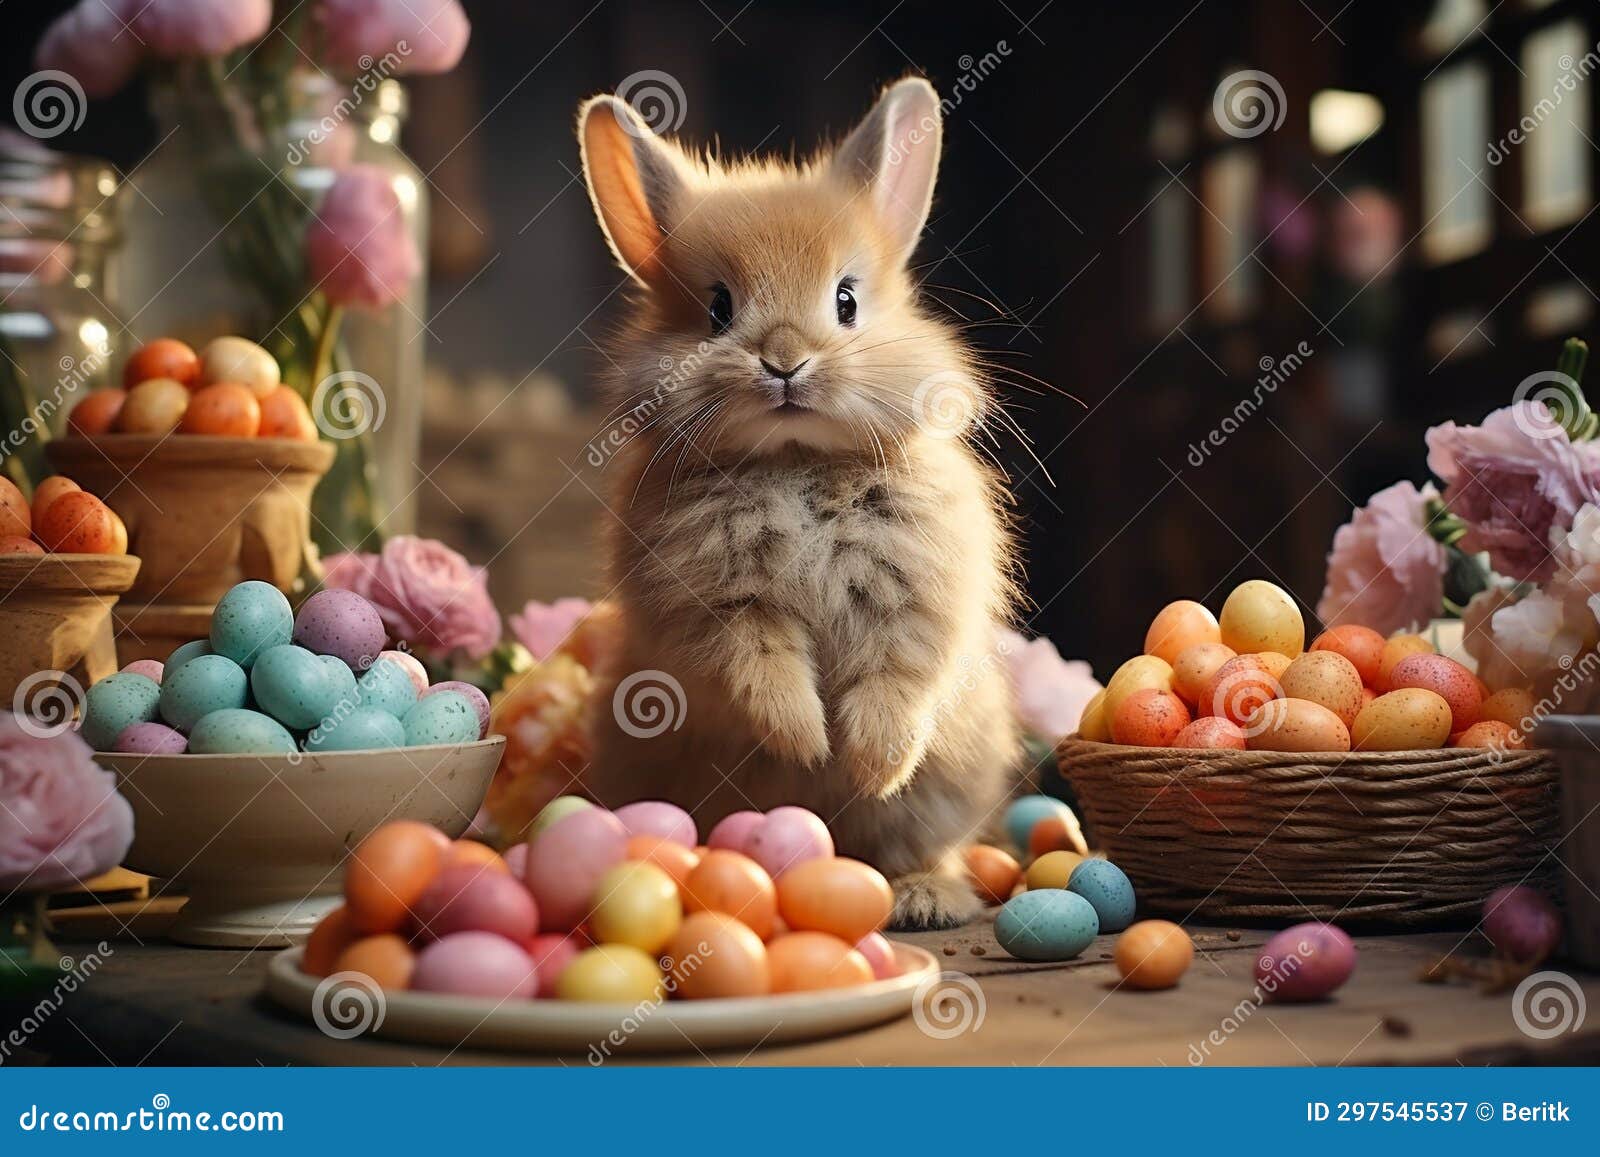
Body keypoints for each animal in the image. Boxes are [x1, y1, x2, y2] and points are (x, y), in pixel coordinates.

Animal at [574, 76, 1021, 929]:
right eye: (717, 307)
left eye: (846, 300)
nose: (784, 361)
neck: (796, 461)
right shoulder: (719, 613)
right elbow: (763, 671)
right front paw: (809, 746)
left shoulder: (918, 604)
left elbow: (898, 680)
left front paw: (867, 765)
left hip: (946, 788)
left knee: (918, 845)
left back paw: (923, 897)